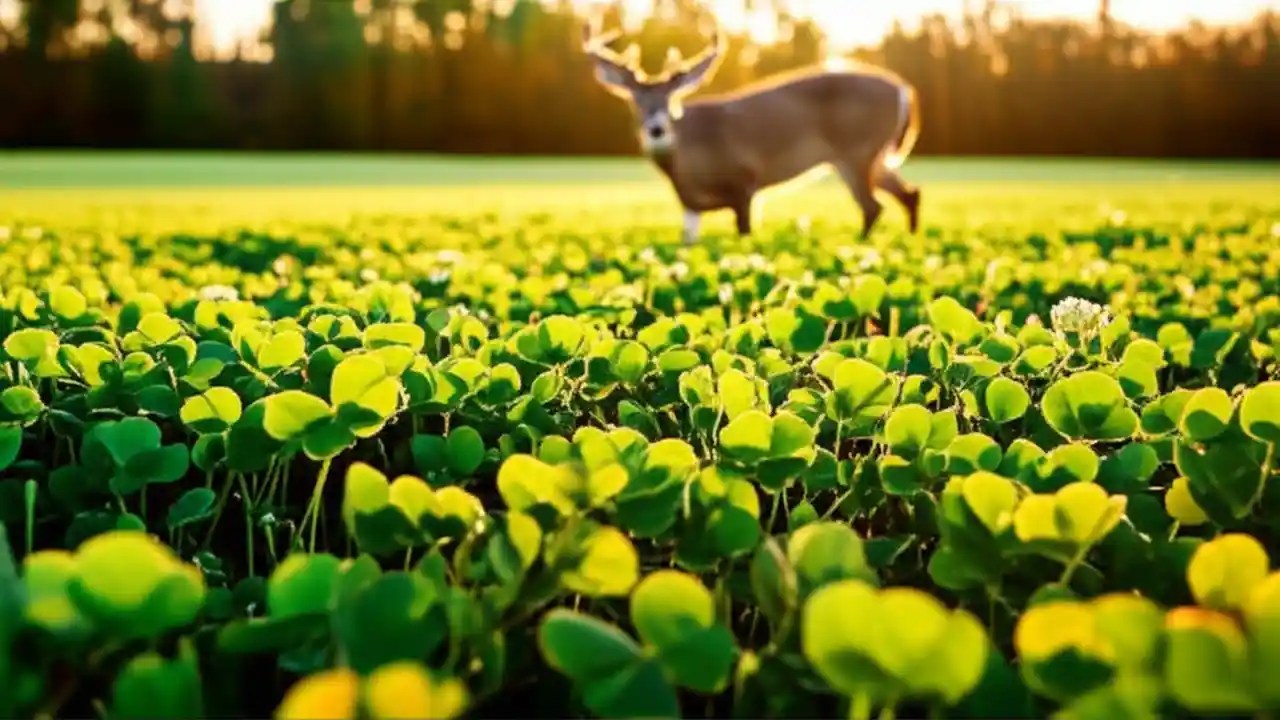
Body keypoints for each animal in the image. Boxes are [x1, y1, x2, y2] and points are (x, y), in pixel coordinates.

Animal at [582, 16, 922, 246]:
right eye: (635, 101)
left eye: (673, 99)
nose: (656, 128)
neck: (685, 167)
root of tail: (905, 91)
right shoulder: (690, 205)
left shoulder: (743, 182)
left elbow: (745, 236)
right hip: (873, 156)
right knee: (910, 195)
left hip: (858, 150)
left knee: (873, 206)